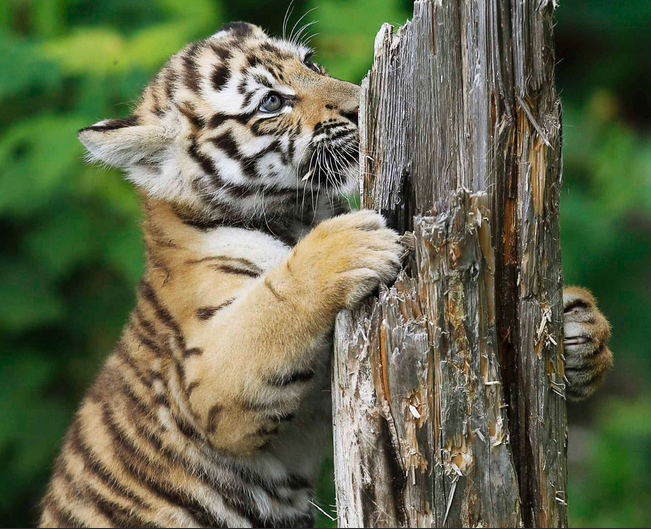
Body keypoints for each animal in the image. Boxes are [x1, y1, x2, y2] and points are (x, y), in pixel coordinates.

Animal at [39, 21, 614, 528]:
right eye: (270, 103)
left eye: (311, 64)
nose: (361, 105)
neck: (299, 213)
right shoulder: (206, 383)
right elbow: (271, 309)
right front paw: (348, 245)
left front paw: (581, 333)